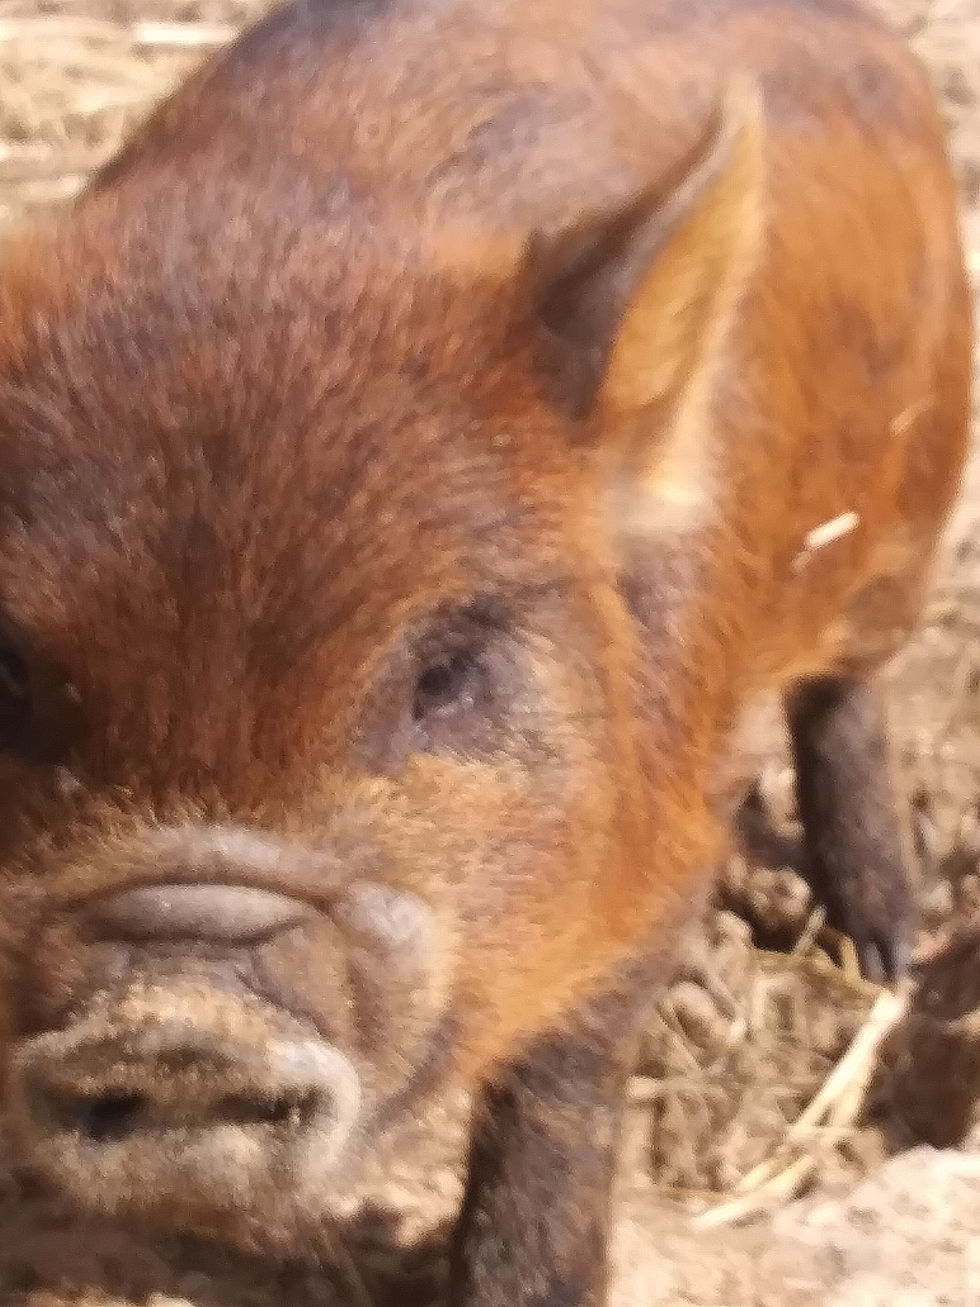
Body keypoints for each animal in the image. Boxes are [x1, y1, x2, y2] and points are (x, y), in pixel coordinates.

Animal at [0, 0, 971, 1303]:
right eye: (9, 674)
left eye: (444, 675)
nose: (180, 1019)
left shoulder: (672, 831)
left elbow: (562, 1077)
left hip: (905, 517)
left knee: (846, 693)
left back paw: (883, 951)